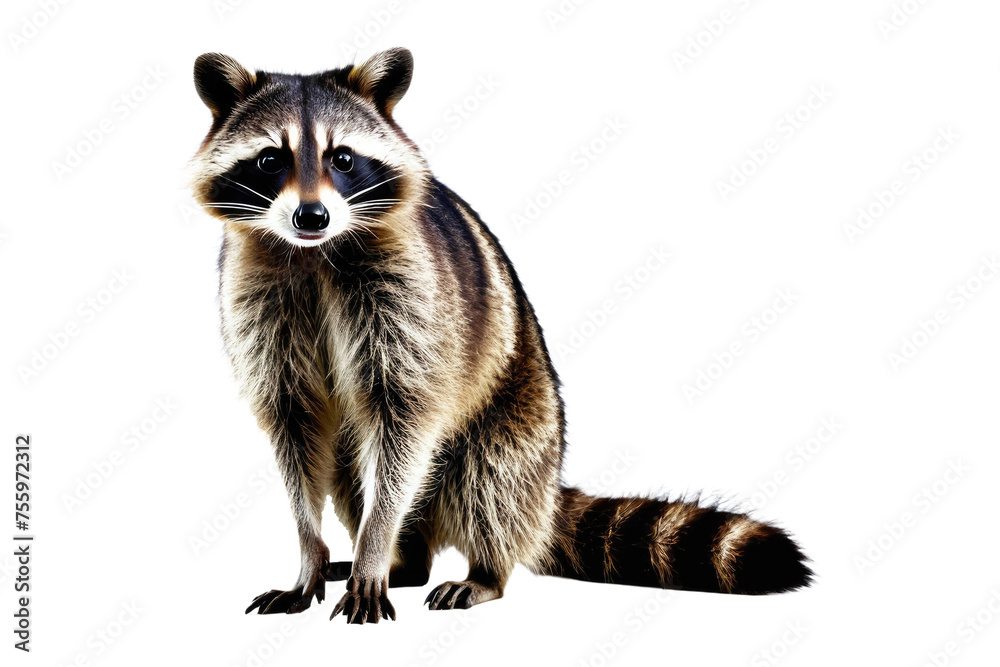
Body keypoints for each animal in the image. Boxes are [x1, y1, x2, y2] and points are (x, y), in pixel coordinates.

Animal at [189, 48, 812, 624]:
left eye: (342, 158)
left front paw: (373, 546)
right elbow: (294, 426)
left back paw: (474, 570)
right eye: (270, 159)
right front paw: (309, 554)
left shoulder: (411, 299)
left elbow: (404, 422)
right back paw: (405, 562)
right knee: (348, 471)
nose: (311, 216)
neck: (315, 255)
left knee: (492, 482)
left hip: (524, 416)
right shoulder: (257, 299)